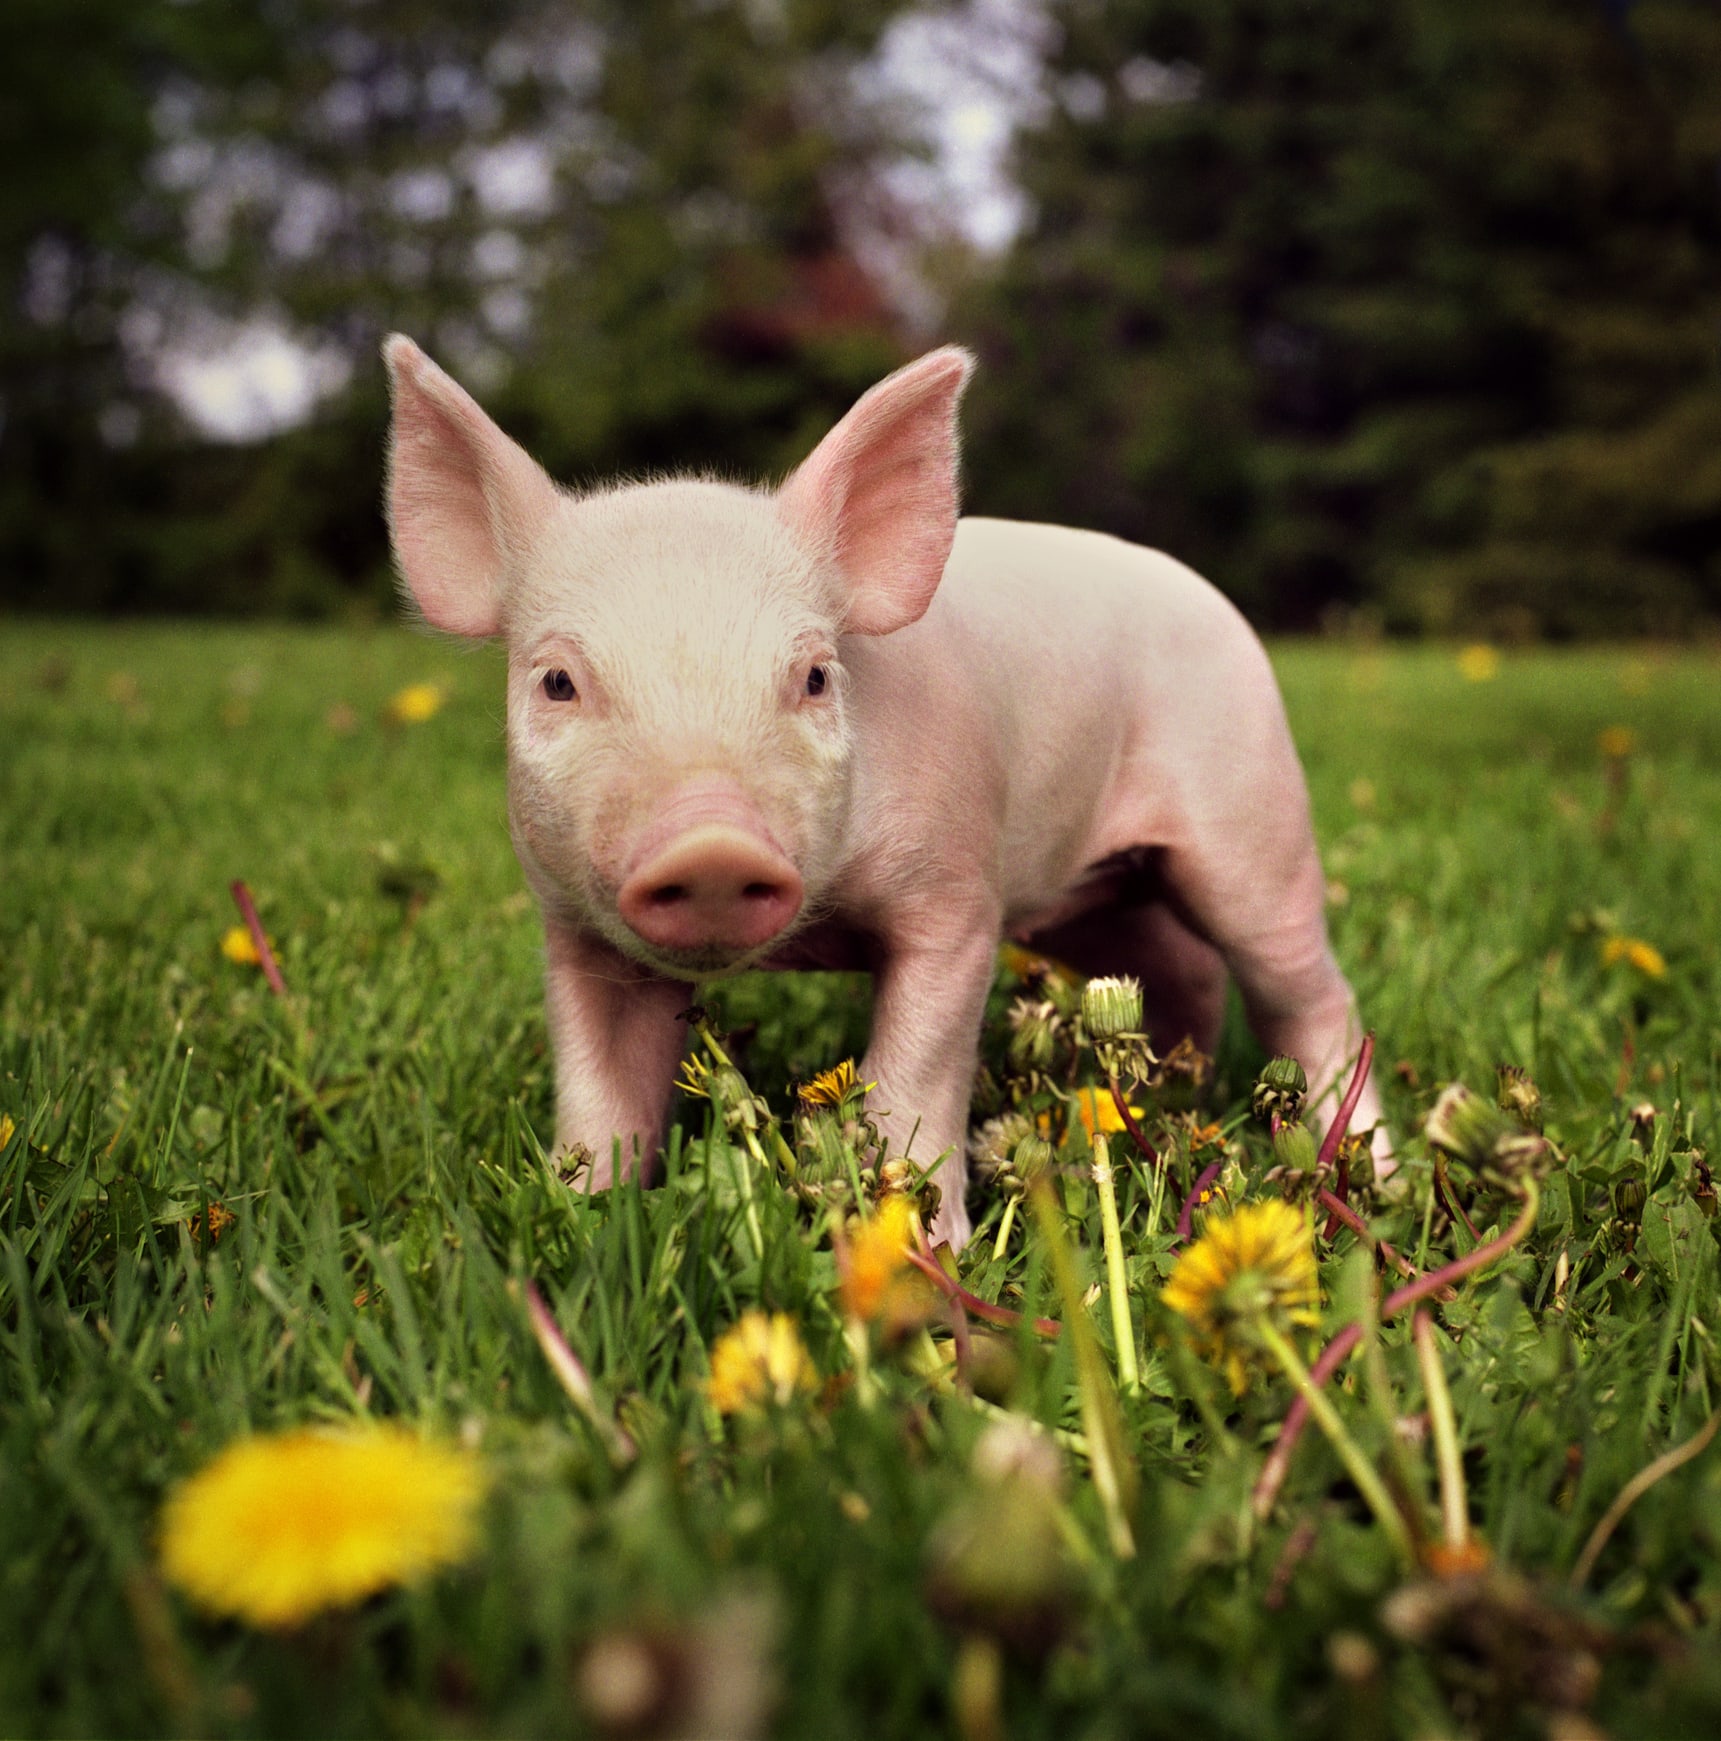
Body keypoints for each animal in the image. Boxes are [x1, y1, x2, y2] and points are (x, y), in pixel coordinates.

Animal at [382, 336, 1383, 1251]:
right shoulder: (573, 926)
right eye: (557, 682)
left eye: (815, 676)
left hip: (1253, 820)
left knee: (1305, 991)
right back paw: (1169, 1099)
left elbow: (916, 1068)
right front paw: (578, 1221)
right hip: (1101, 895)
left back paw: (1365, 1162)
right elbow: (601, 1092)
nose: (711, 844)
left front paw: (923, 1248)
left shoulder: (958, 896)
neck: (811, 941)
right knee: (1181, 968)